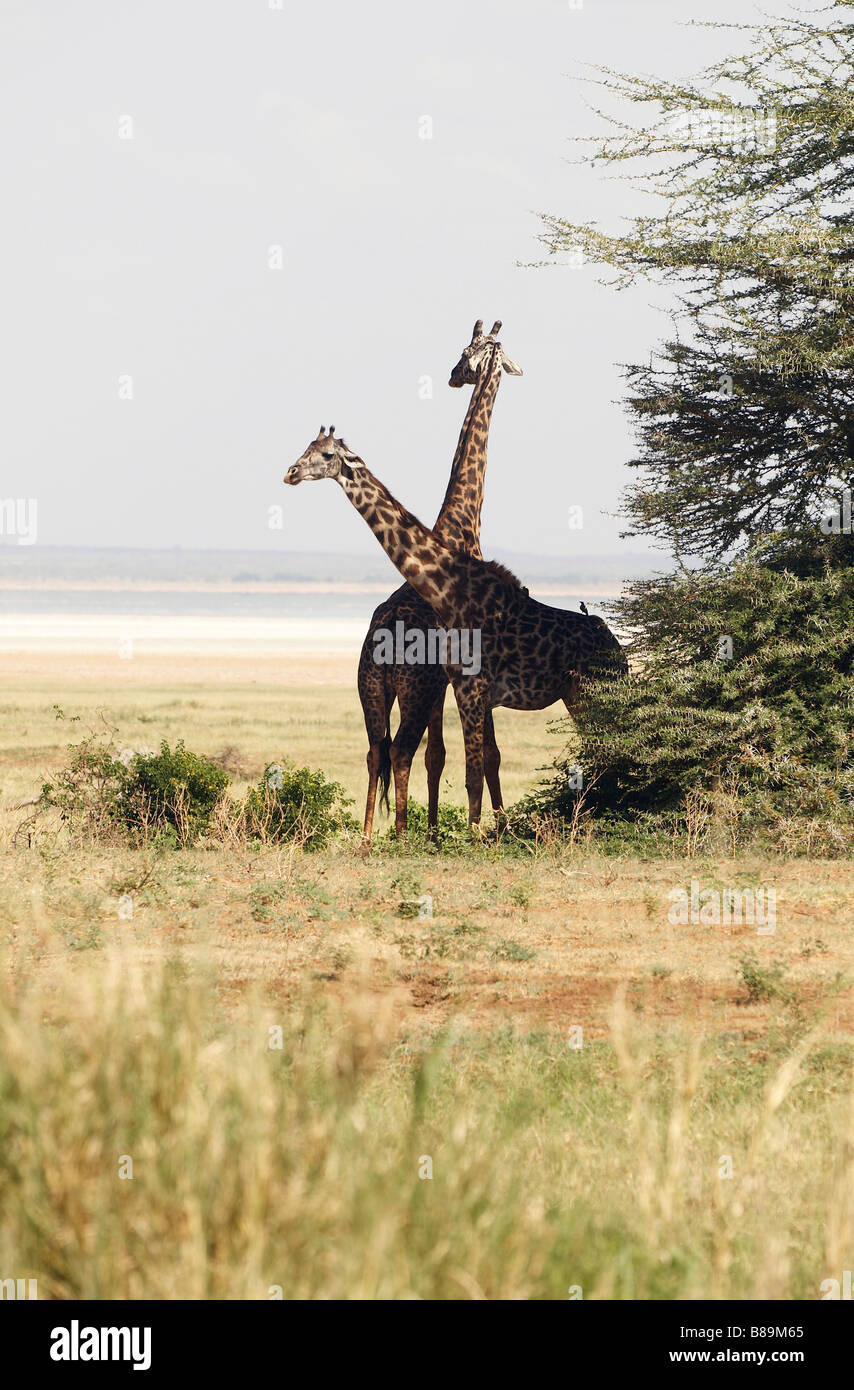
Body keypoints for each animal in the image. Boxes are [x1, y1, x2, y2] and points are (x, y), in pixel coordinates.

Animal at [285, 430, 627, 825]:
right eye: (306, 448)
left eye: (326, 454)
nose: (291, 473)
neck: (449, 591)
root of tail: (621, 654)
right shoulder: (468, 691)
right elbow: (472, 768)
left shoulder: (472, 689)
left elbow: (473, 775)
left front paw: (478, 835)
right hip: (575, 696)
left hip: (592, 692)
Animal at [357, 318, 522, 842]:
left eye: (468, 353)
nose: (452, 376)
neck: (460, 525)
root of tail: (382, 645)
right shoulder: (467, 676)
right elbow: (486, 753)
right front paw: (496, 825)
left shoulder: (449, 683)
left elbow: (439, 756)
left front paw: (434, 830)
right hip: (412, 689)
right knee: (398, 749)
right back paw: (398, 833)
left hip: (372, 689)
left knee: (376, 750)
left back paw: (369, 834)